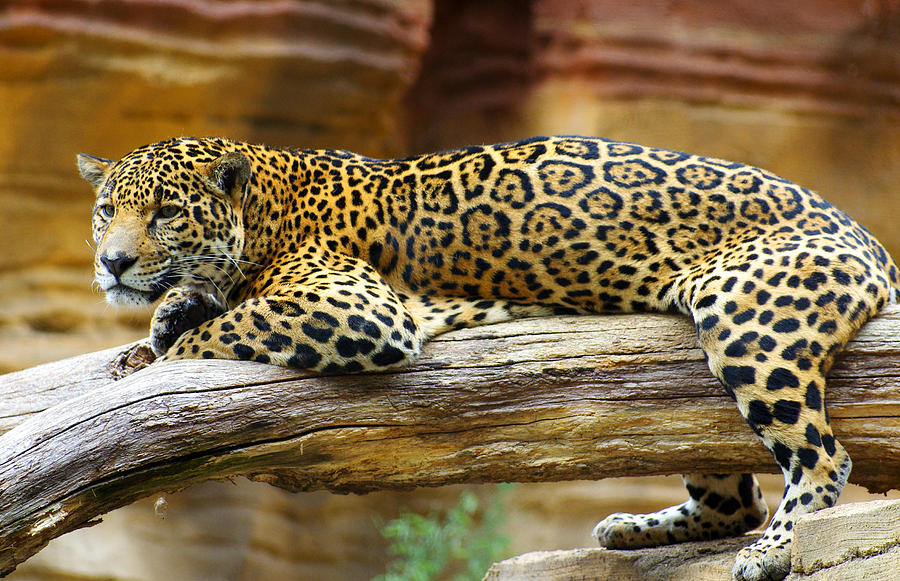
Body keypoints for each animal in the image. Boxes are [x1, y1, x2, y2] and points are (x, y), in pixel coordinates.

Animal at [78, 135, 899, 581]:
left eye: (166, 213)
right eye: (105, 210)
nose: (112, 263)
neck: (265, 210)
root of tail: (871, 240)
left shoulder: (357, 308)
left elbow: (228, 324)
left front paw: (159, 350)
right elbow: (192, 312)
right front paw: (152, 330)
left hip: (748, 320)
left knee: (820, 459)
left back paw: (772, 550)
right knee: (733, 497)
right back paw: (628, 528)